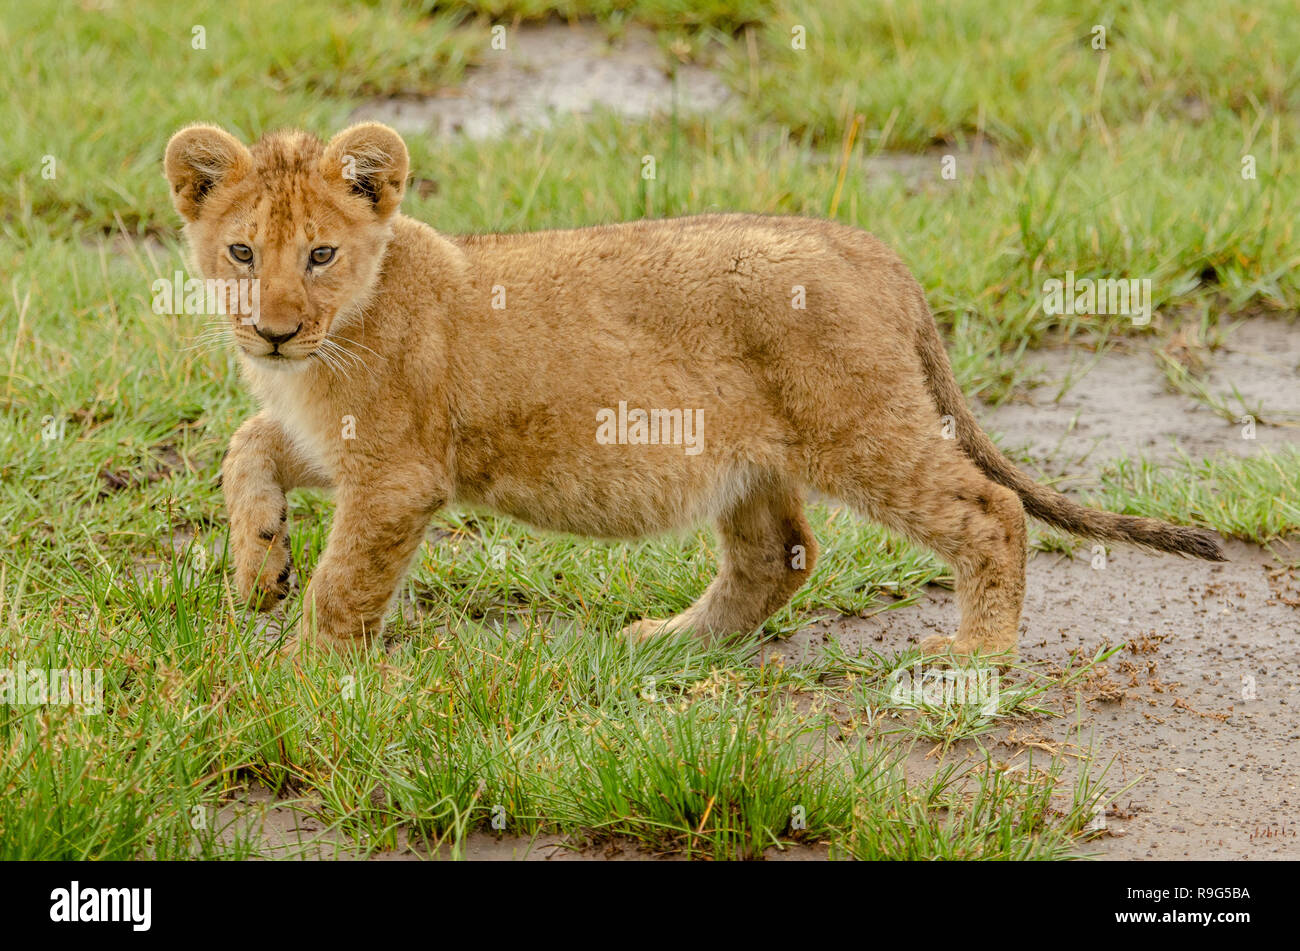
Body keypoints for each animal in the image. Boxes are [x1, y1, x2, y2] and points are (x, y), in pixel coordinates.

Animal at [163, 121, 1224, 658]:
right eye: (243, 252)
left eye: (321, 255)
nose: (273, 326)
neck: (329, 346)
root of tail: (869, 247)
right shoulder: (331, 439)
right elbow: (246, 445)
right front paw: (259, 565)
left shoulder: (397, 475)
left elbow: (346, 582)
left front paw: (305, 674)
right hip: (754, 457)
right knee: (780, 557)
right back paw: (670, 640)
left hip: (861, 428)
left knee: (989, 508)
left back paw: (974, 657)